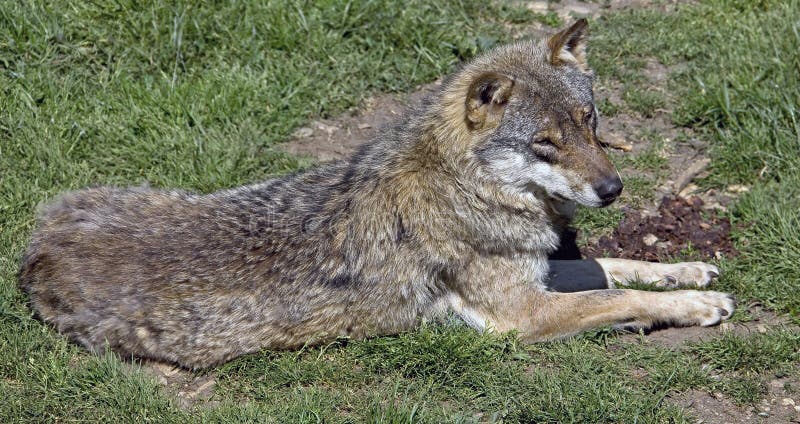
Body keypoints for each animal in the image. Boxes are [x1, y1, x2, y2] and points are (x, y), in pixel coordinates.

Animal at [18, 20, 734, 369]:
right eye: (545, 145)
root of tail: (35, 248)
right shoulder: (522, 315)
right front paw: (694, 307)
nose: (613, 189)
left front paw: (686, 271)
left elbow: (613, 264)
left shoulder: (538, 272)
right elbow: (619, 295)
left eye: (590, 123)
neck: (464, 189)